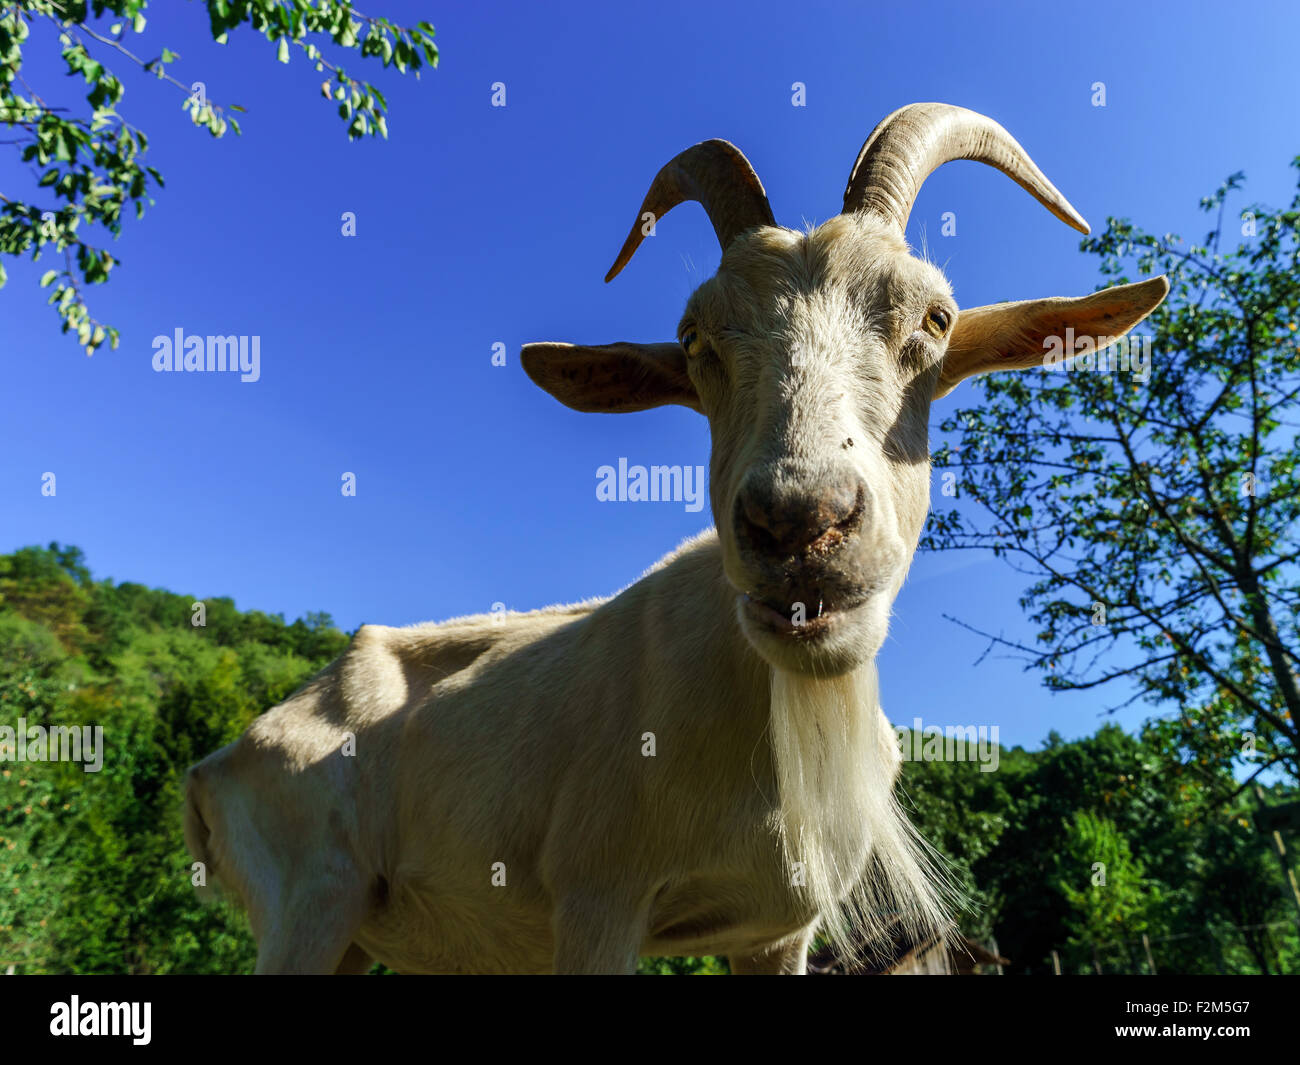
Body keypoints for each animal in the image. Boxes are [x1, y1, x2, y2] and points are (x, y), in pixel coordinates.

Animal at [184, 103, 1167, 974]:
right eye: (694, 339)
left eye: (936, 320)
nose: (797, 520)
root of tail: (216, 763)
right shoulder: (596, 898)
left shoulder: (774, 933)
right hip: (311, 905)